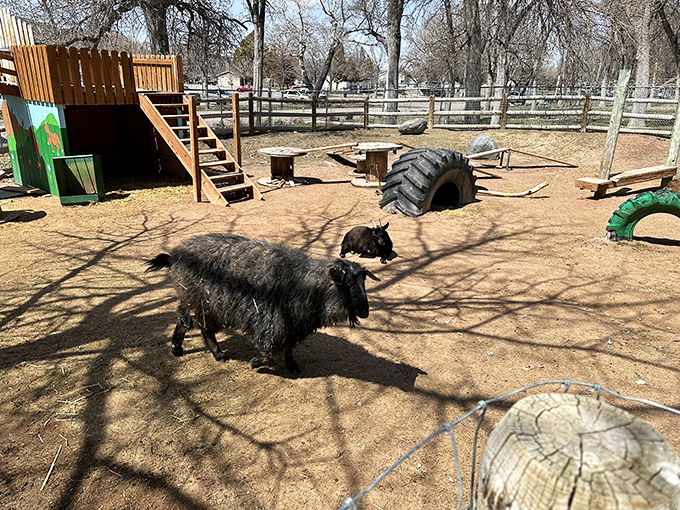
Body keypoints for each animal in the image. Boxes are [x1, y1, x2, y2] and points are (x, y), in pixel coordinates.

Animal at [145, 233, 380, 373]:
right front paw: (256, 362)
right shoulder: (270, 321)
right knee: (189, 323)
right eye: (347, 283)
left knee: (202, 328)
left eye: (363, 281)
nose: (365, 311)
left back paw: (205, 352)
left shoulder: (292, 324)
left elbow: (288, 348)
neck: (304, 283)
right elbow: (270, 353)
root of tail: (174, 255)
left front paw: (292, 365)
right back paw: (188, 349)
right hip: (198, 301)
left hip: (211, 305)